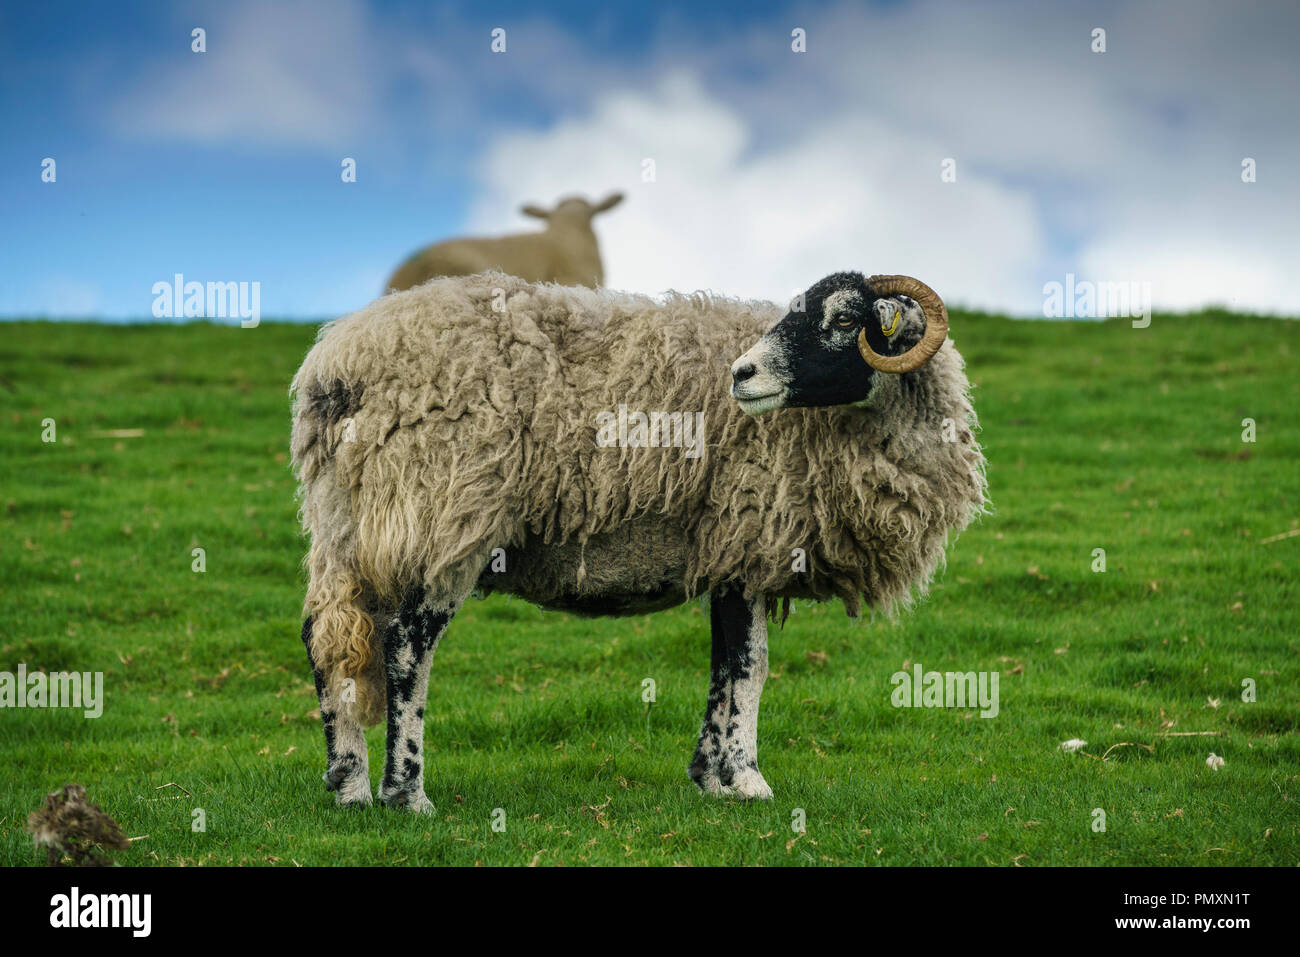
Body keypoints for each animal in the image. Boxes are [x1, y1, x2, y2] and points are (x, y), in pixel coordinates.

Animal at [290, 270, 986, 808]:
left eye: (843, 319)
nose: (741, 374)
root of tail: (337, 365)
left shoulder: (723, 553)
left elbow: (723, 665)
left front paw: (710, 777)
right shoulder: (750, 535)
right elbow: (751, 666)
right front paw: (749, 780)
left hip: (348, 527)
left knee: (328, 640)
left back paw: (349, 785)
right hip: (444, 514)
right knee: (406, 646)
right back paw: (406, 793)